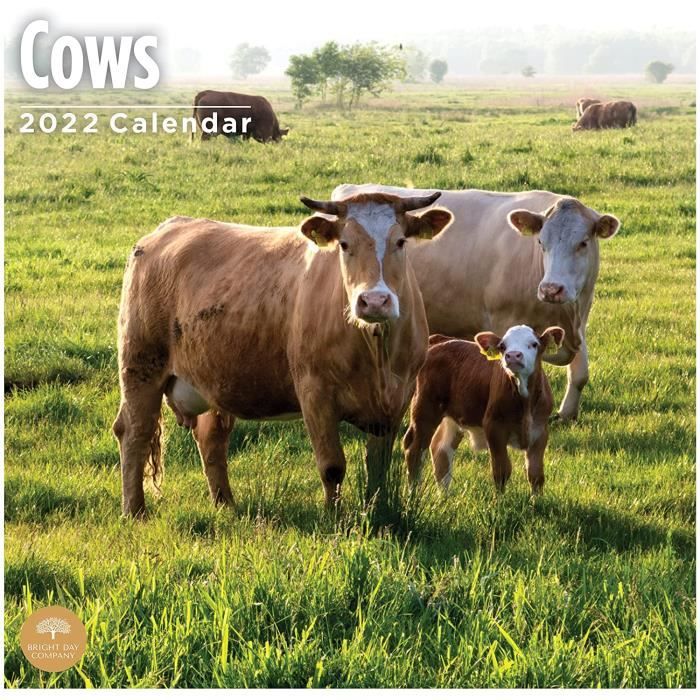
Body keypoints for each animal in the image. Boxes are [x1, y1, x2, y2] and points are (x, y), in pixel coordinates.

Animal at [112, 192, 454, 517]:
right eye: (345, 245)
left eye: (400, 242)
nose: (374, 301)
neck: (376, 351)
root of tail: (169, 228)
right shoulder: (315, 393)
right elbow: (332, 466)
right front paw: (335, 518)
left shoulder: (396, 400)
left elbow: (379, 470)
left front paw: (376, 511)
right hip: (141, 364)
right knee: (134, 432)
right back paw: (135, 510)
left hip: (210, 375)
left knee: (211, 438)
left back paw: (225, 504)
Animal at [331, 183, 621, 431]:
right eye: (541, 243)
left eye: (583, 243)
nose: (551, 289)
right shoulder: (505, 320)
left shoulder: (579, 320)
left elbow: (580, 374)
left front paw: (566, 413)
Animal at [403, 325, 564, 493]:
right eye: (502, 346)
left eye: (534, 344)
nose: (513, 356)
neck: (525, 400)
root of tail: (440, 340)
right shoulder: (494, 427)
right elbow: (502, 471)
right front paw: (499, 499)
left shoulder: (540, 431)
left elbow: (535, 474)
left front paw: (535, 499)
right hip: (425, 408)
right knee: (414, 449)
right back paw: (413, 492)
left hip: (451, 416)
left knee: (441, 448)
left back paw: (444, 495)